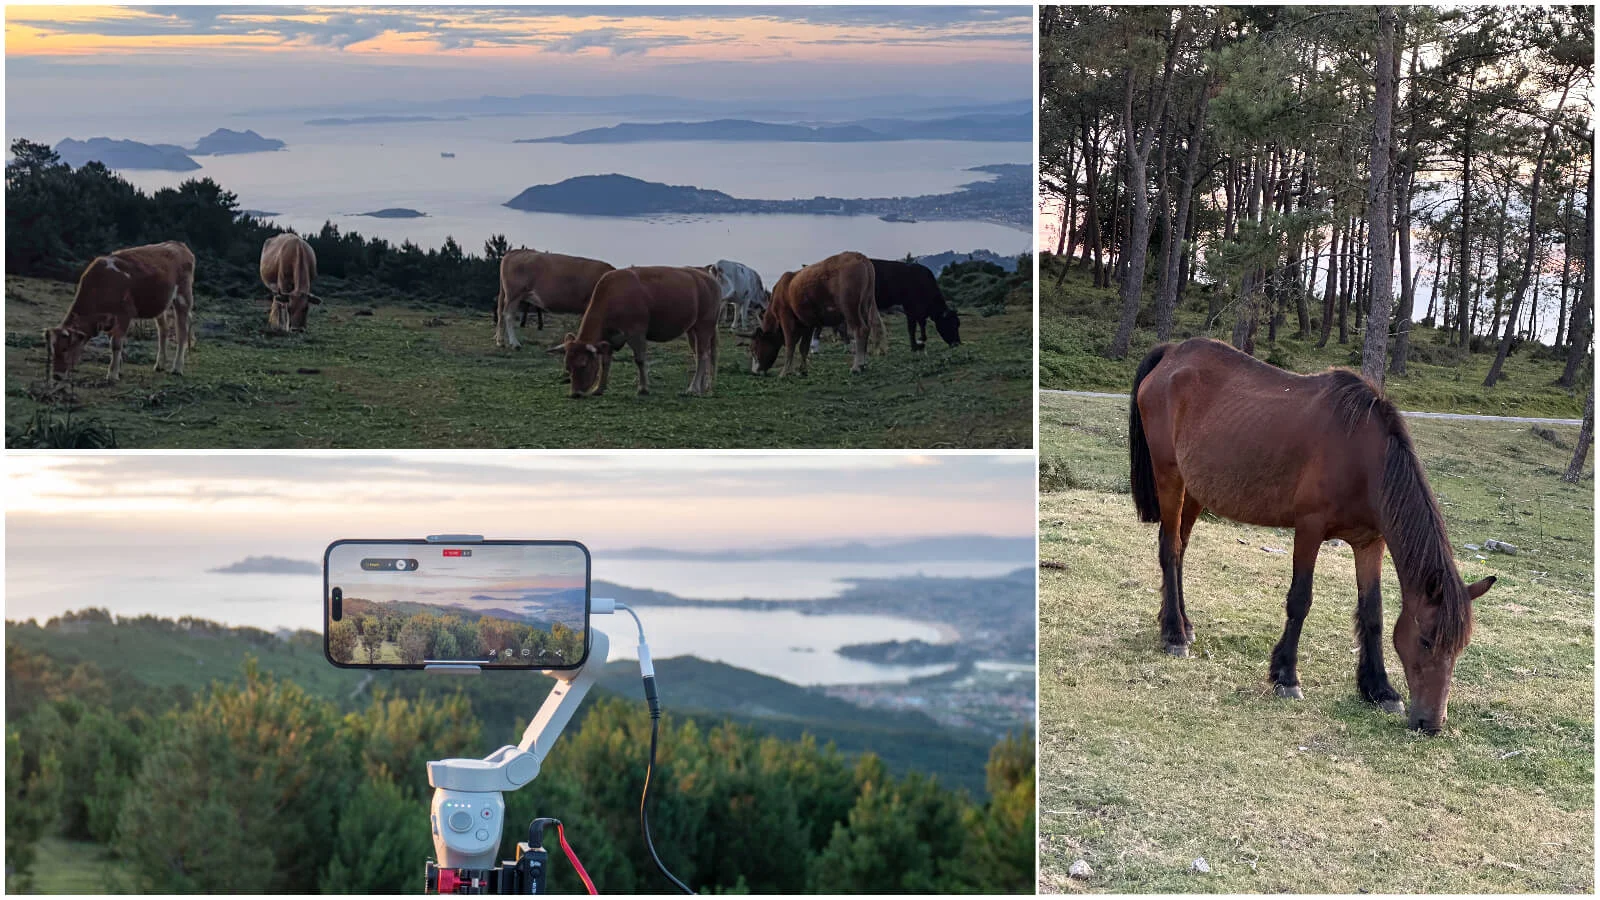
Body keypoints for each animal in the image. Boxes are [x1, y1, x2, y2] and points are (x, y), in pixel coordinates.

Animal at [1128, 338, 1495, 733]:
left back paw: (1181, 623)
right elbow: (1300, 600)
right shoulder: (1309, 530)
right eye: (1426, 641)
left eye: (1460, 648)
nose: (1432, 723)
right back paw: (1174, 635)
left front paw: (1379, 688)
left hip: (1195, 491)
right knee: (1170, 549)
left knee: (1180, 549)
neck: (1362, 455)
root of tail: (1172, 353)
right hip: (1170, 478)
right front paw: (1286, 676)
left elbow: (1373, 613)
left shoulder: (1370, 543)